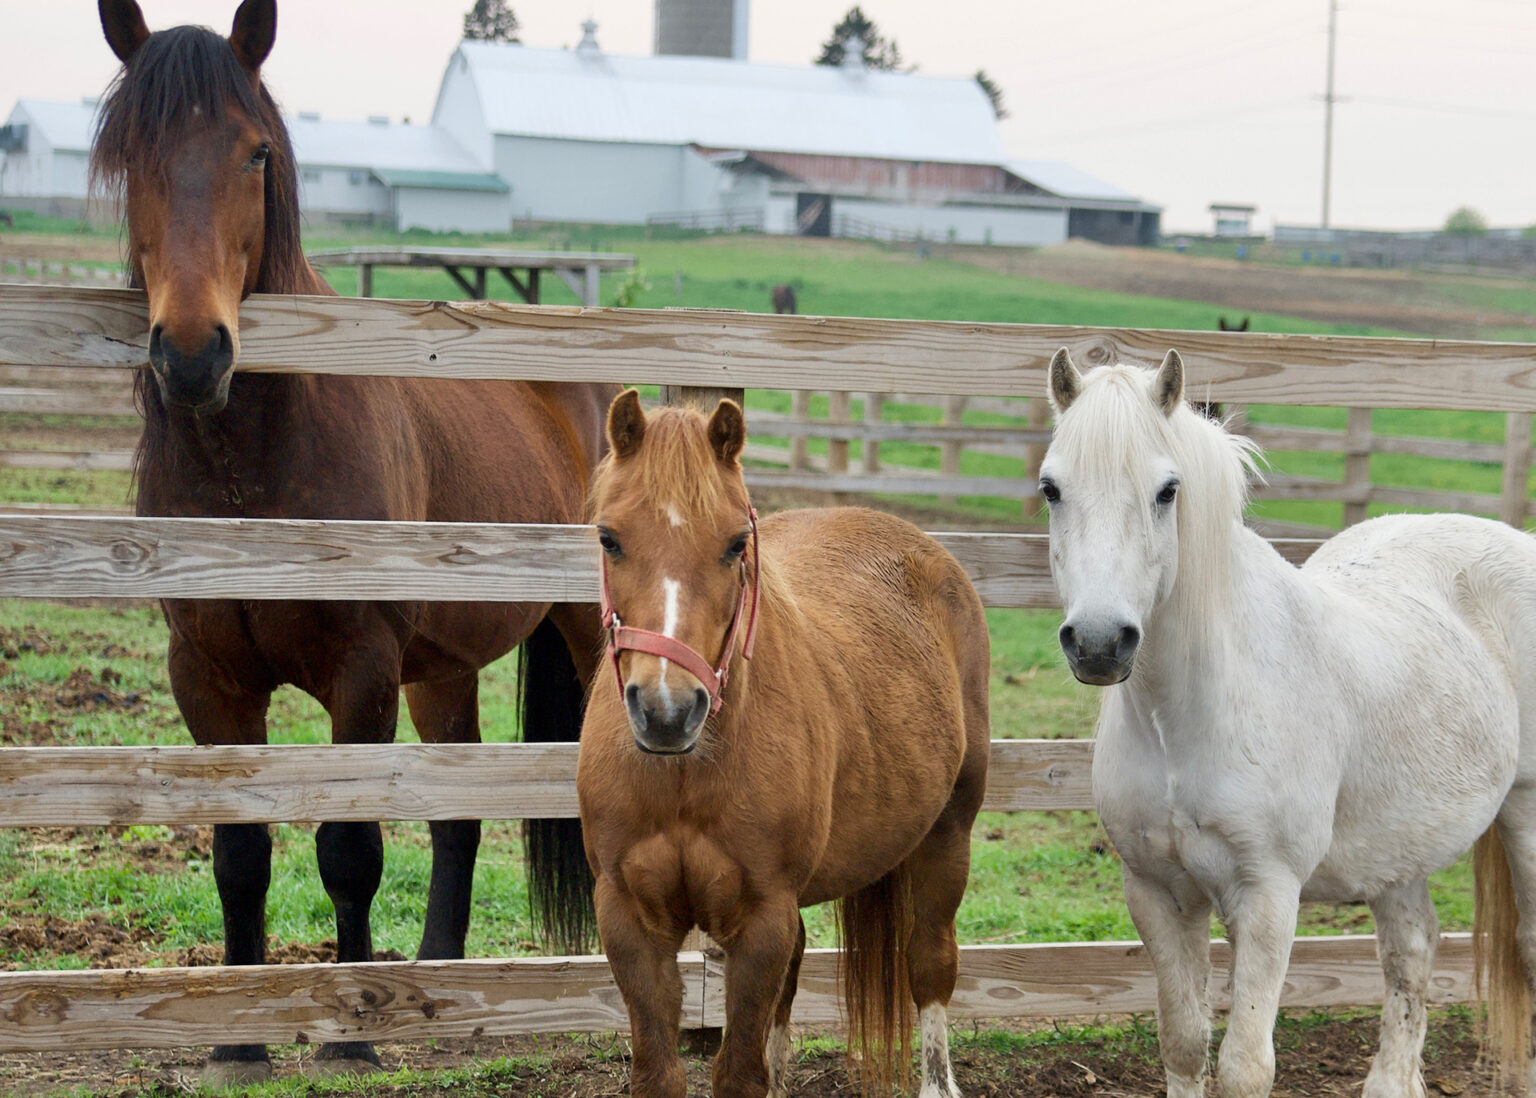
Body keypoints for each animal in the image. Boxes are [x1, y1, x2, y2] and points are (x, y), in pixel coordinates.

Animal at [93, 0, 611, 1082]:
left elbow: (349, 848)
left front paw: (350, 1038)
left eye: (254, 152)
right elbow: (241, 855)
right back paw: (439, 978)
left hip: (585, 633)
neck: (253, 472)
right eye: (129, 155)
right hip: (443, 667)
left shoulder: (361, 669)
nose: (193, 354)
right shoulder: (208, 677)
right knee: (459, 809)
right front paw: (239, 1040)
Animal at [577, 392, 990, 1098]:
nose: (667, 712)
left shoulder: (761, 917)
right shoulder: (629, 919)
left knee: (931, 963)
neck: (685, 776)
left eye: (735, 544)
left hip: (948, 834)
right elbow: (662, 1069)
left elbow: (740, 1073)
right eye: (610, 538)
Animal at [1039, 346, 1536, 1098]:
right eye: (1051, 489)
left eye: (1167, 491)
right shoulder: (1155, 891)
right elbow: (1184, 1043)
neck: (1189, 717)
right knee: (1412, 951)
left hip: (1527, 816)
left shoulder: (1268, 895)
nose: (1099, 643)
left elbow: (1245, 1066)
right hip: (1400, 849)